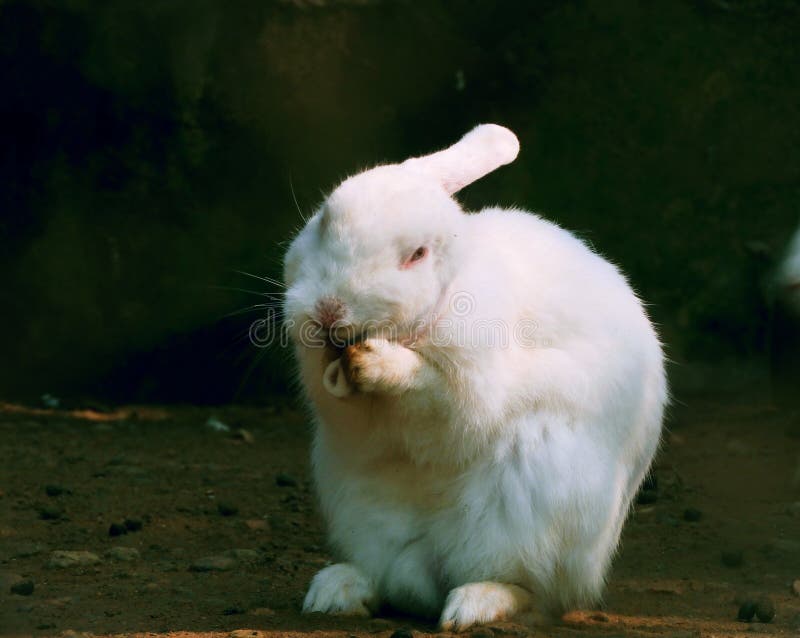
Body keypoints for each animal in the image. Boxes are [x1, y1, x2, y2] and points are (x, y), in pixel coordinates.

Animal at [282, 124, 667, 630]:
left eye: (417, 255)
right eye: (324, 222)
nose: (329, 311)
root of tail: (426, 567)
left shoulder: (467, 387)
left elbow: (435, 398)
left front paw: (376, 363)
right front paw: (343, 370)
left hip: (531, 511)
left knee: (532, 591)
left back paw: (473, 604)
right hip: (359, 510)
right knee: (381, 575)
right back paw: (336, 590)